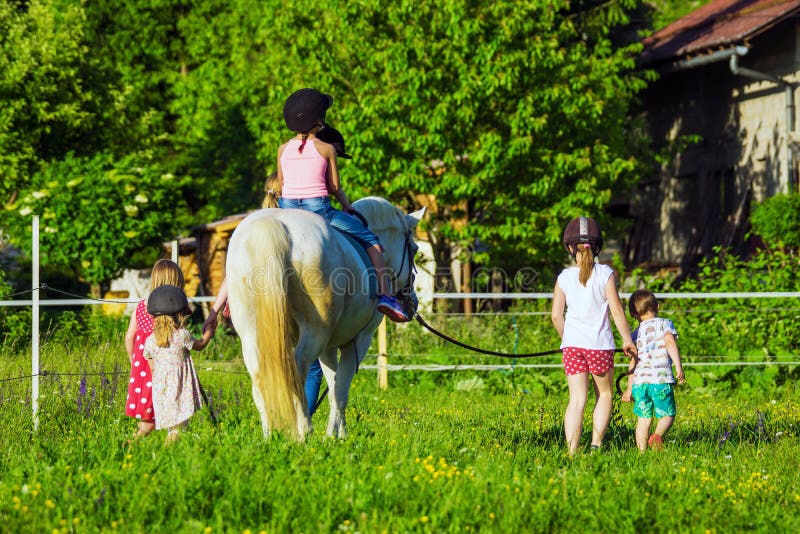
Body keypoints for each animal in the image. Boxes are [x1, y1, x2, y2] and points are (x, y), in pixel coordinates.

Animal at [225, 196, 423, 440]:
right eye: (414, 248)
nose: (412, 302)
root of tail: (274, 227)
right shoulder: (358, 341)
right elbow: (341, 390)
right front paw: (338, 437)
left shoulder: (328, 348)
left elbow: (333, 387)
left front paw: (335, 434)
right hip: (315, 332)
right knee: (296, 370)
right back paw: (303, 432)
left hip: (251, 334)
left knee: (260, 376)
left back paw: (269, 435)